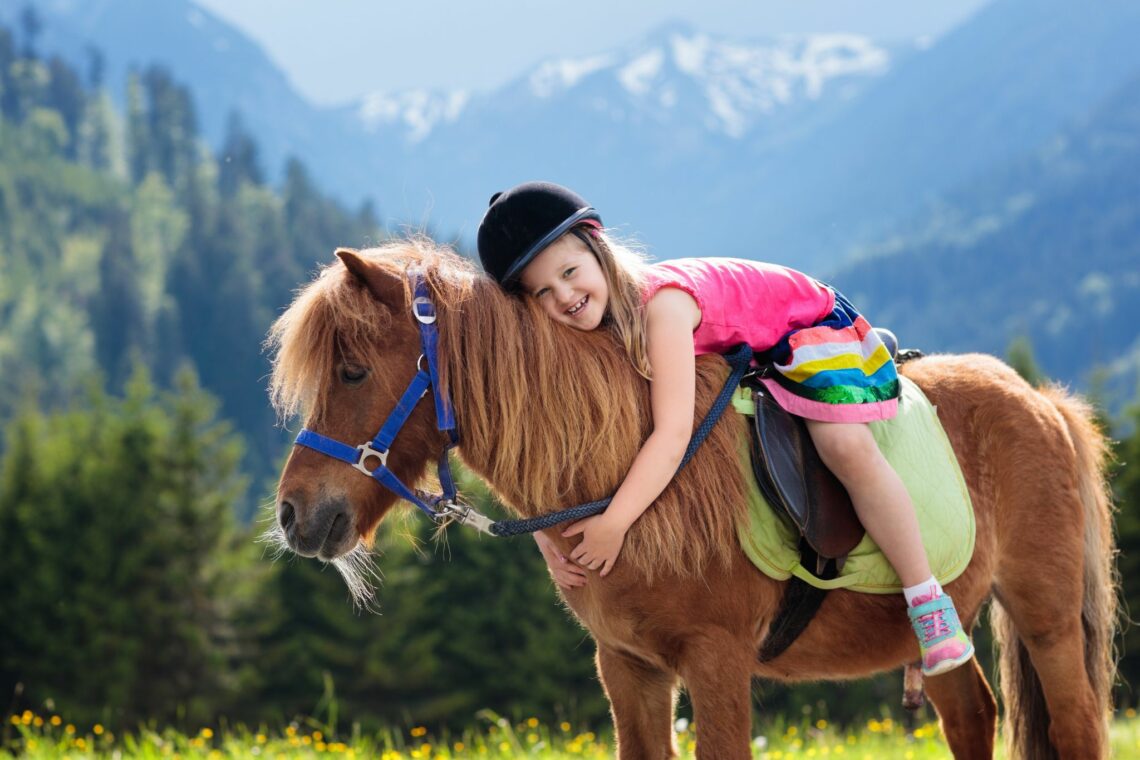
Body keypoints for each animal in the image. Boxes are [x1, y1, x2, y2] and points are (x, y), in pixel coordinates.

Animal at [266, 238, 1118, 759]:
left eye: (351, 370)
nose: (294, 514)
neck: (627, 486)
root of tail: (1040, 400)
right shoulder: (629, 668)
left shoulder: (717, 662)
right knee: (972, 713)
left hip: (1043, 617)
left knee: (1076, 723)